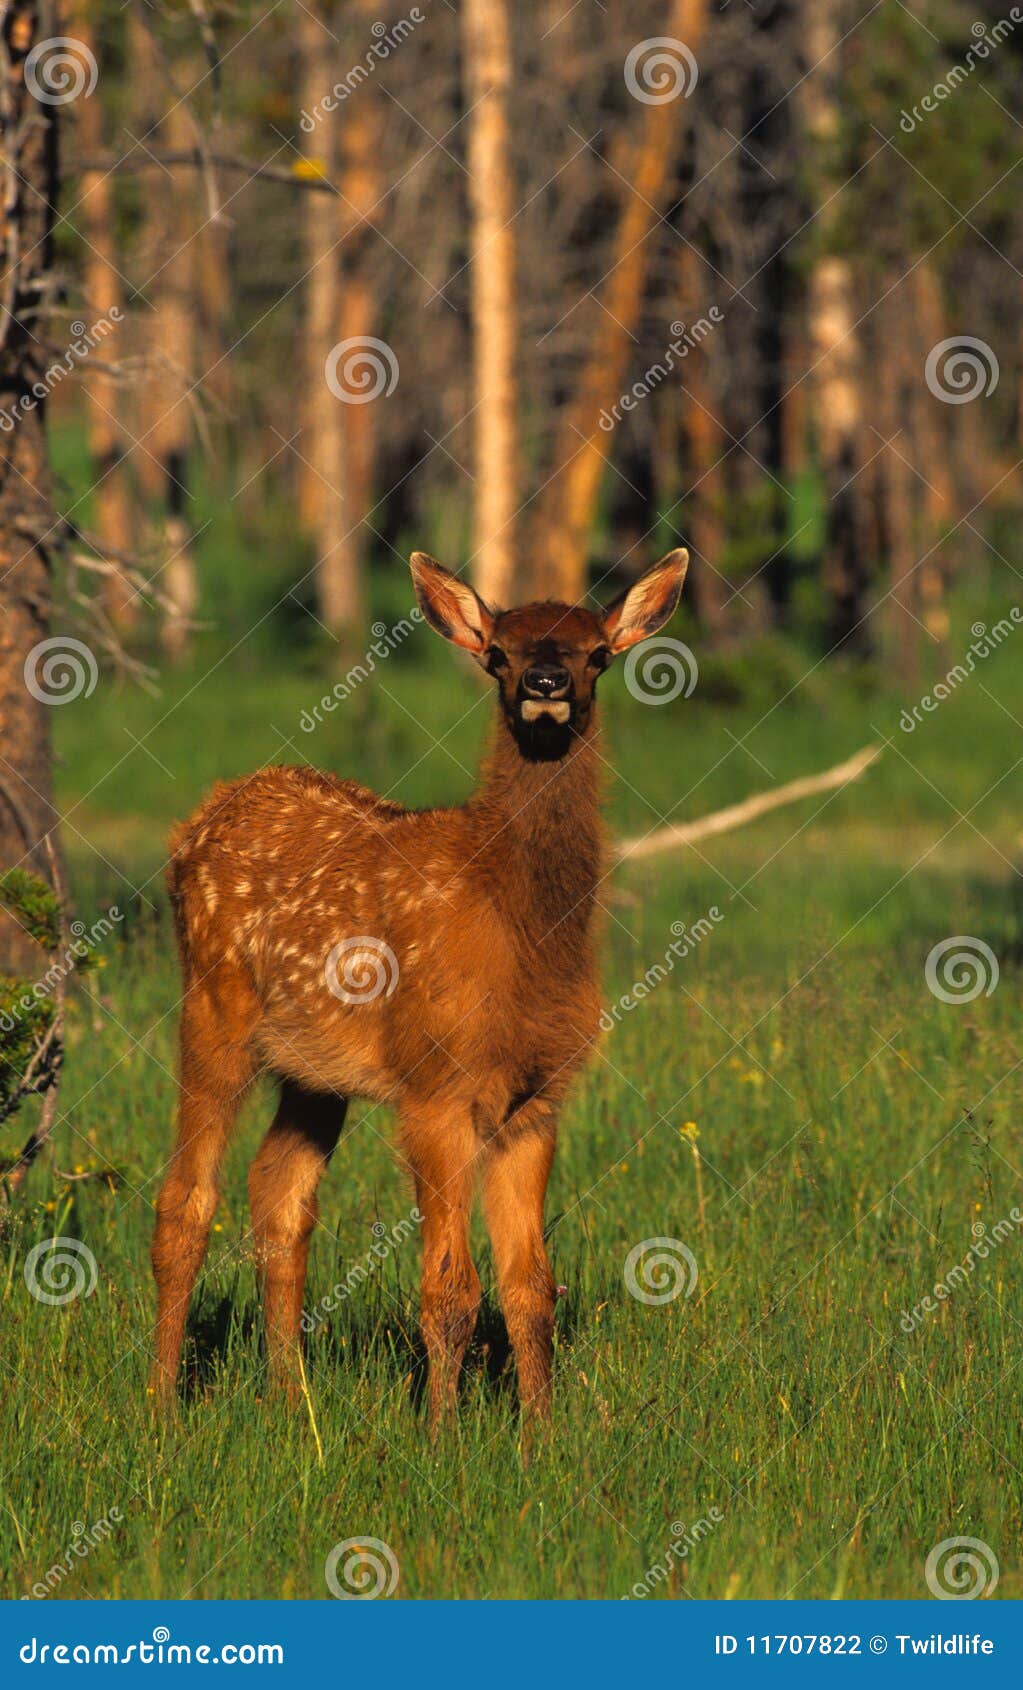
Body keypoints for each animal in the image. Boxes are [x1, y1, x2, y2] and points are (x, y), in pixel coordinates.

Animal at [150, 546, 689, 1432]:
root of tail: (198, 819)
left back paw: (290, 1399)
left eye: (596, 653)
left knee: (279, 1194)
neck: (522, 936)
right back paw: (163, 1401)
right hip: (212, 1008)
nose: (545, 683)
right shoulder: (437, 1084)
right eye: (498, 653)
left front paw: (540, 1436)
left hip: (314, 1071)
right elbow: (449, 1288)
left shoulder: (535, 1101)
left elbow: (530, 1288)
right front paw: (441, 1434)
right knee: (186, 1201)